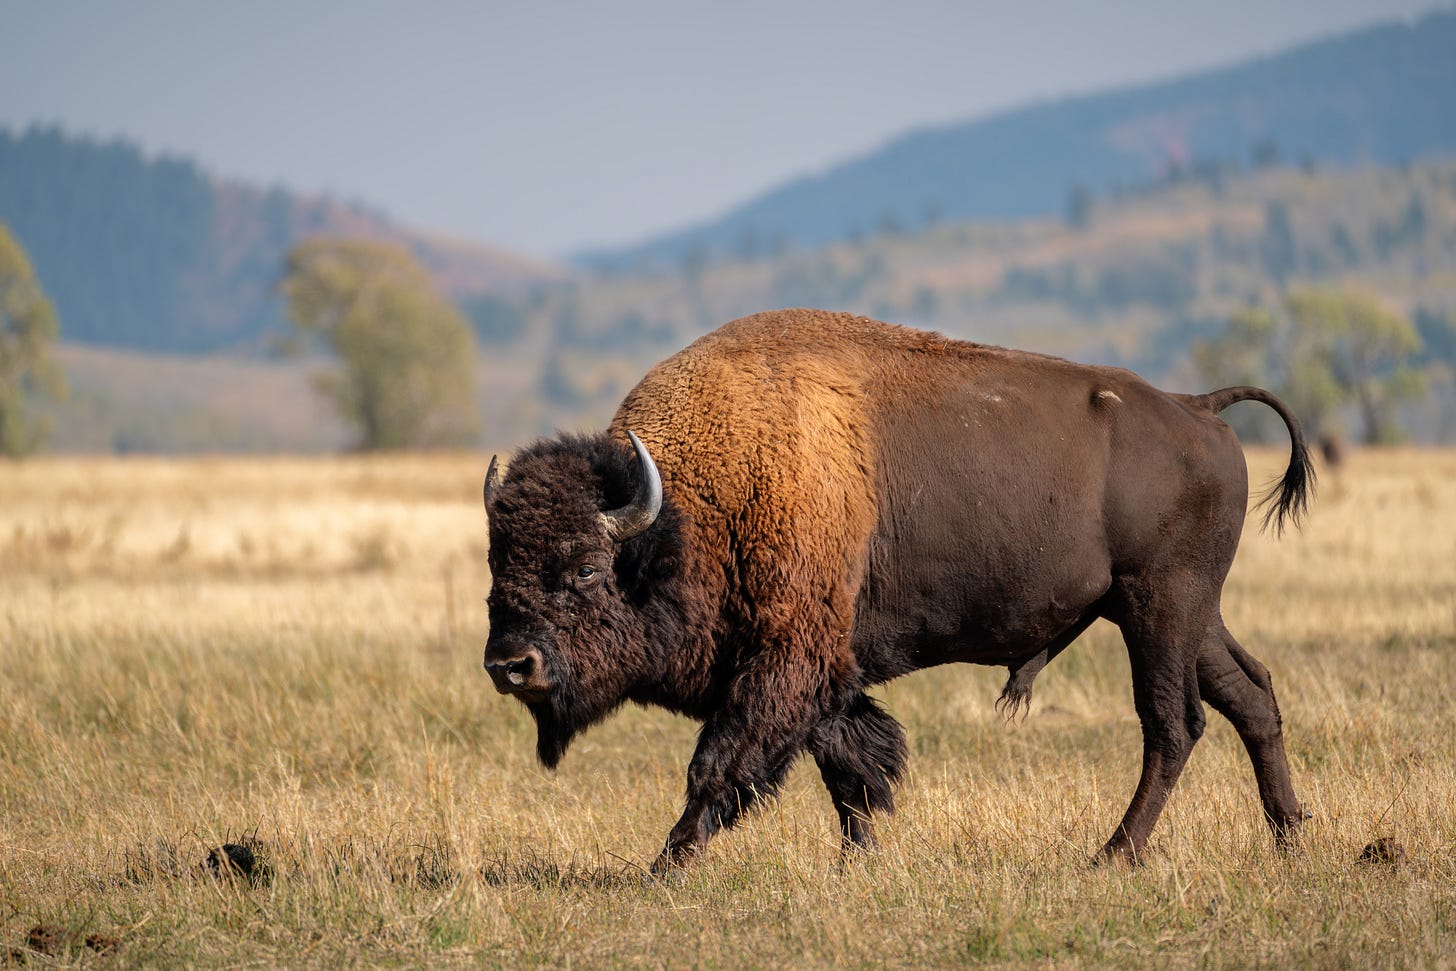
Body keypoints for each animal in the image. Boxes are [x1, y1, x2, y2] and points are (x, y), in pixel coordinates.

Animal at [482, 309, 1313, 873]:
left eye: (586, 568)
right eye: (496, 566)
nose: (511, 665)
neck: (693, 510)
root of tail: (1198, 408)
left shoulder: (784, 660)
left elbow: (723, 760)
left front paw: (667, 862)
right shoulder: (821, 666)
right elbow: (848, 763)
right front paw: (862, 857)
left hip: (1158, 608)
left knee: (1173, 722)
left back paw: (1113, 853)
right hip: (1185, 613)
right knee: (1252, 696)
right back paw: (1290, 835)